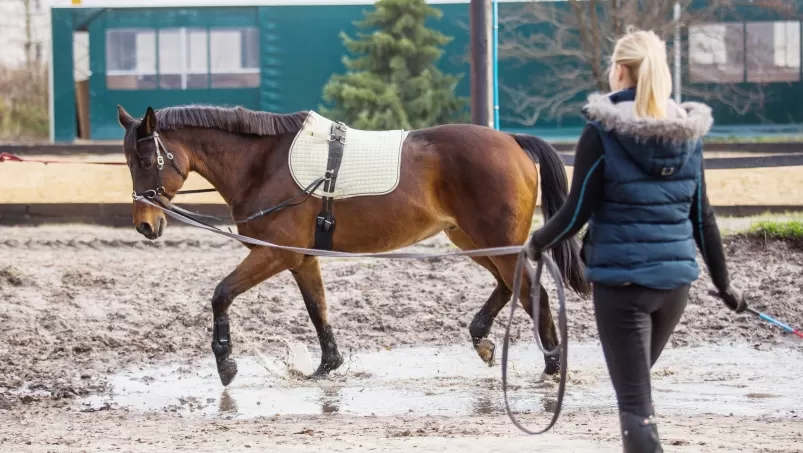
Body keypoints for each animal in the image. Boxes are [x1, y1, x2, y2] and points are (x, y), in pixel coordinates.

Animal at [114, 103, 592, 384]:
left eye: (146, 159)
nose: (145, 225)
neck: (263, 163)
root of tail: (511, 140)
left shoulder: (274, 253)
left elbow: (220, 294)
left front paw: (226, 363)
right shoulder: (300, 259)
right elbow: (317, 308)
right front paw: (328, 365)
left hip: (495, 240)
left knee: (531, 290)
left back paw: (551, 366)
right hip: (470, 238)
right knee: (513, 287)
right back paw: (484, 340)